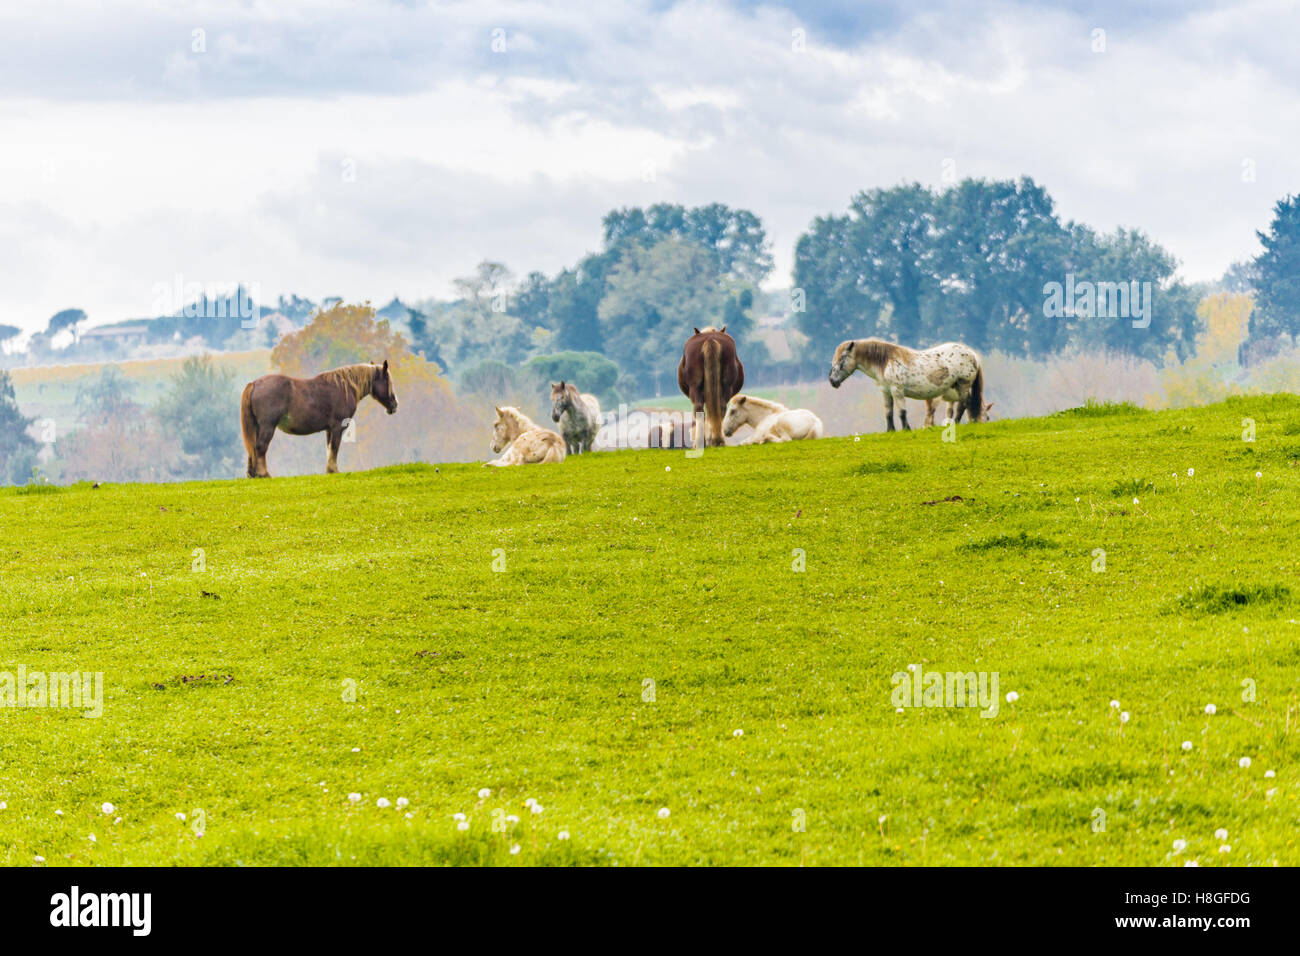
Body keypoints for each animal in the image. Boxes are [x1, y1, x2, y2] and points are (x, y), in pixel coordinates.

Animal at [240, 361, 397, 477]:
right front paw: (334, 470)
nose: (394, 405)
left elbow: (329, 448)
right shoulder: (337, 427)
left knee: (253, 448)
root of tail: (254, 383)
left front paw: (329, 470)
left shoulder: (329, 429)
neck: (345, 387)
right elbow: (334, 447)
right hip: (268, 427)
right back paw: (264, 474)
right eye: (388, 381)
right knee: (261, 447)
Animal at [828, 339, 985, 432]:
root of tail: (973, 354)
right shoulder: (886, 392)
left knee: (963, 404)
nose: (832, 381)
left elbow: (902, 412)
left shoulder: (897, 390)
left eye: (842, 358)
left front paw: (906, 429)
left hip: (963, 385)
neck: (886, 362)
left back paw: (955, 423)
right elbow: (888, 413)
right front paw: (890, 430)